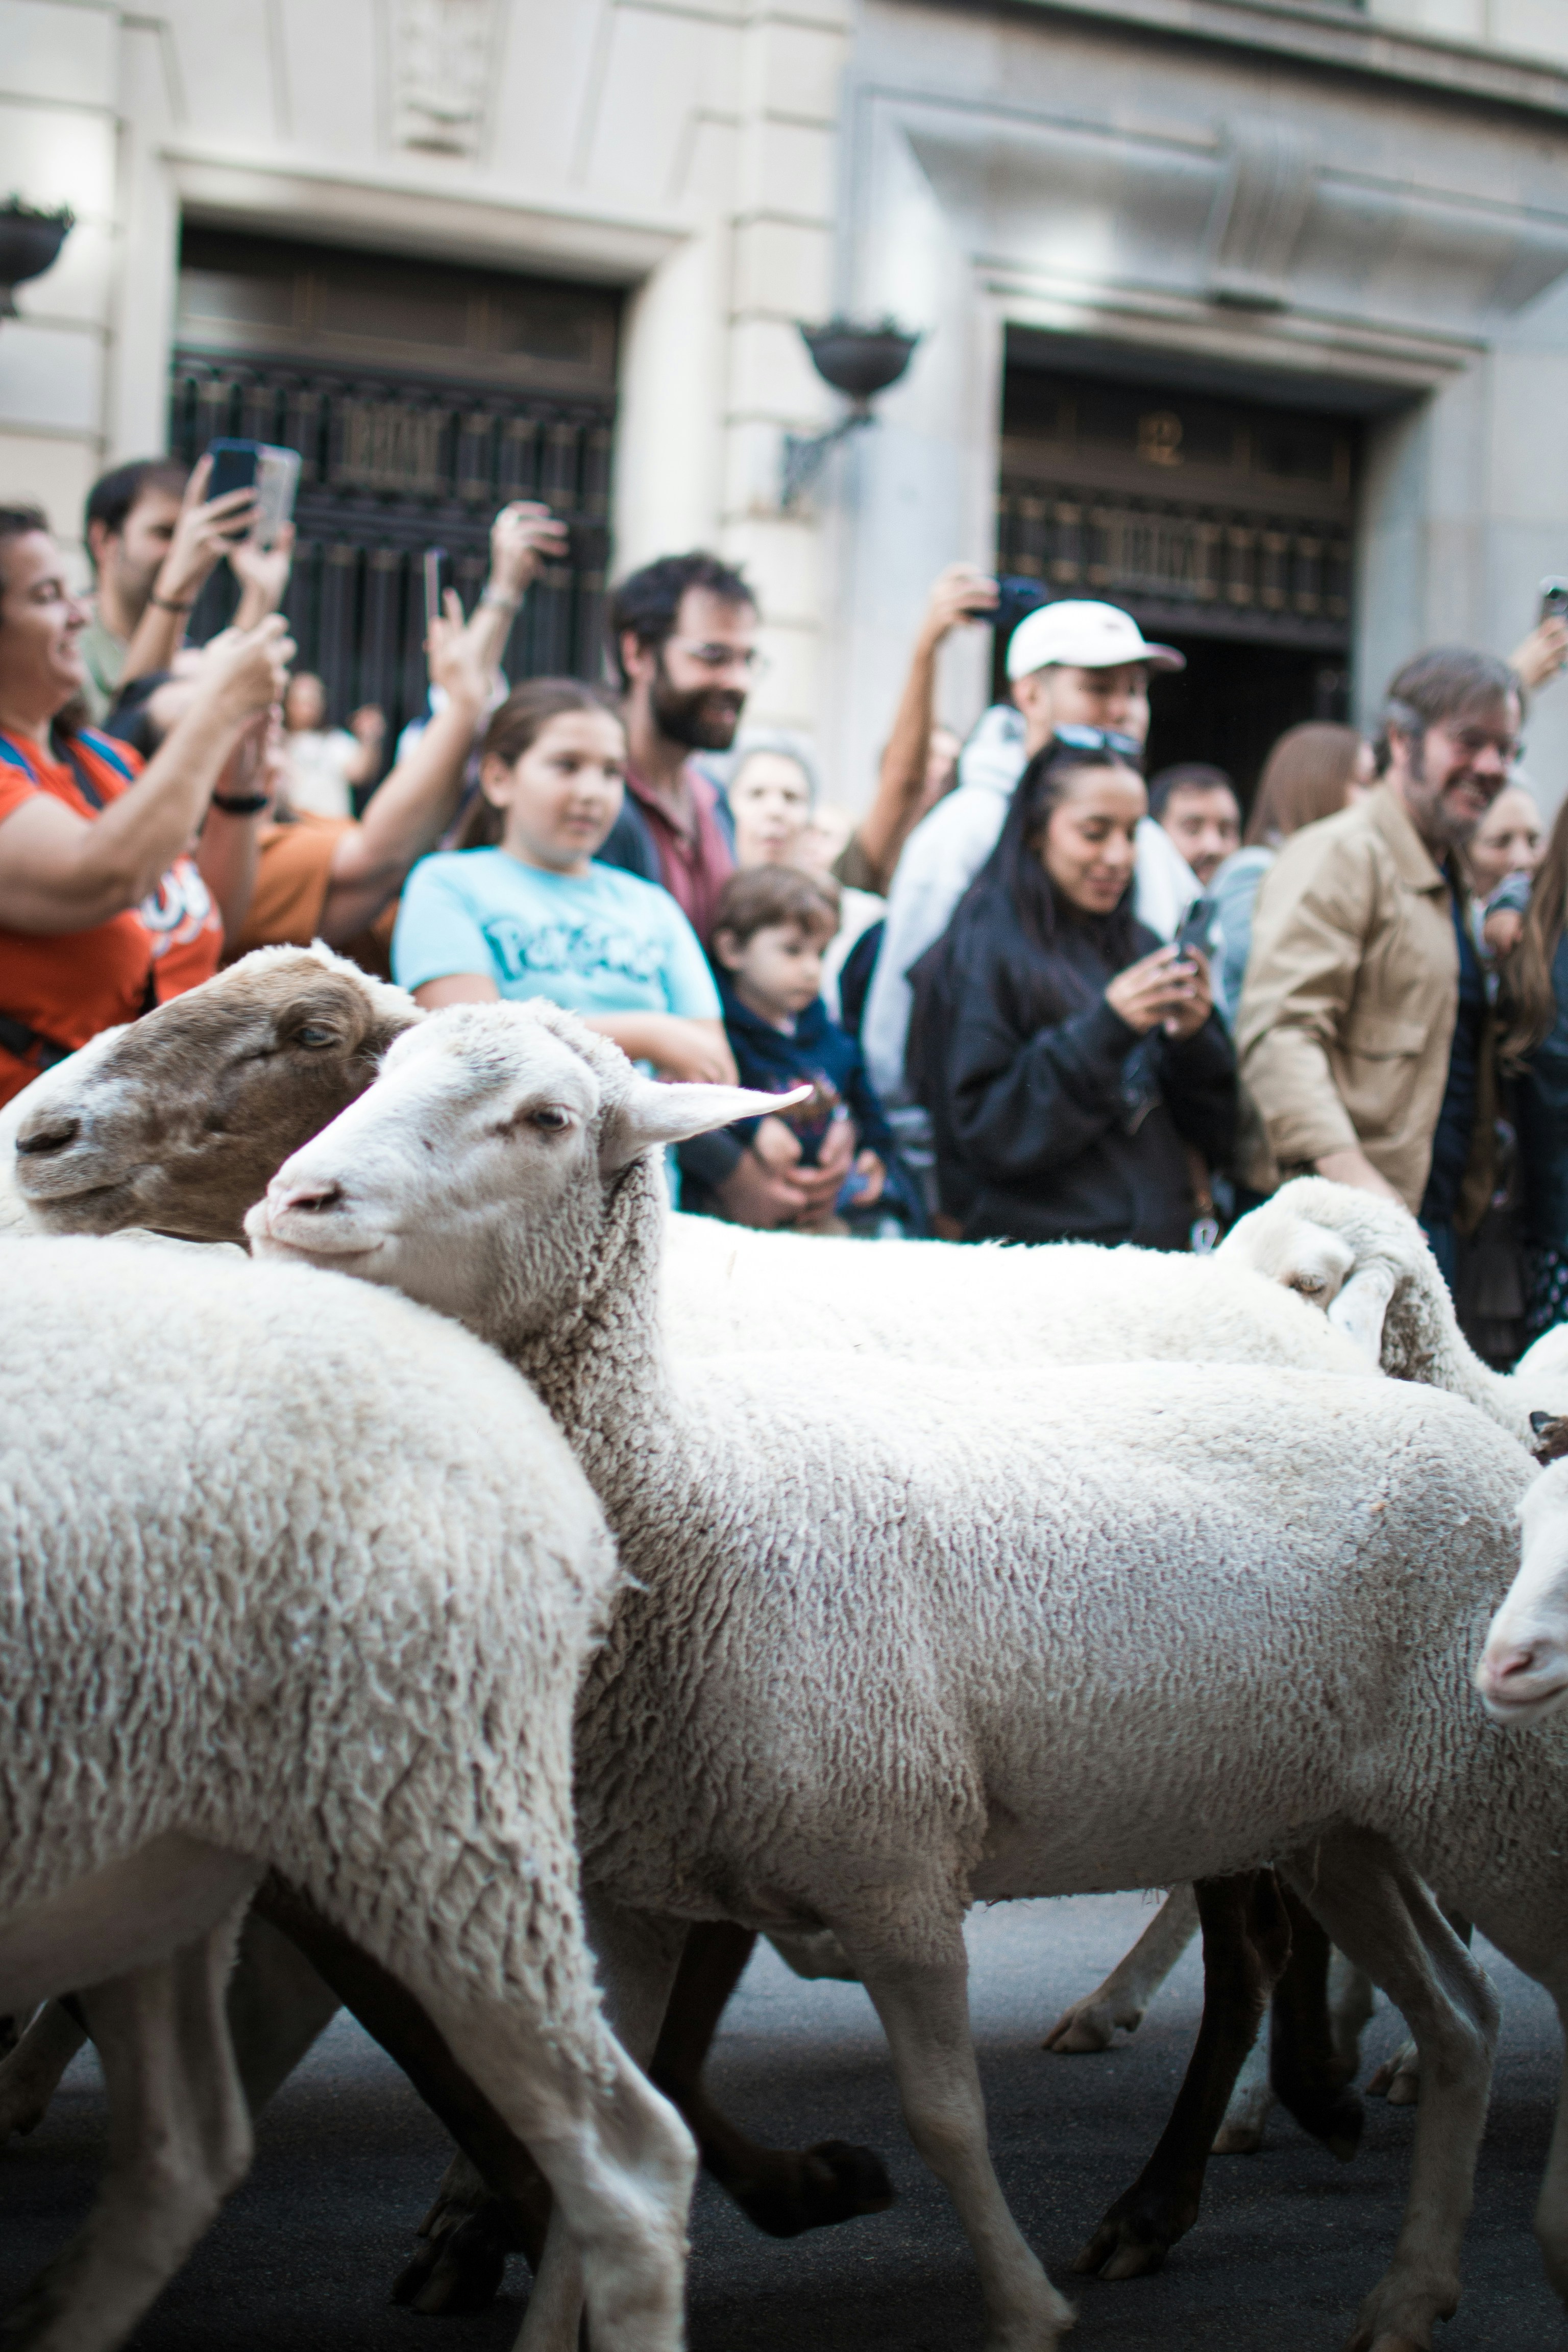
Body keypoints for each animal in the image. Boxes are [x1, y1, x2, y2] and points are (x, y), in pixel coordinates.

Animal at [246, 996, 1568, 2352]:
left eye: (547, 1118)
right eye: (378, 1070)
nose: (294, 1201)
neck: (692, 1500)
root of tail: (1465, 1428)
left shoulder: (897, 1875)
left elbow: (943, 2115)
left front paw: (1022, 2308)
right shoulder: (639, 1895)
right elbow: (599, 2145)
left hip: (1493, 1797)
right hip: (1341, 1822)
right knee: (1461, 2014)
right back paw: (1401, 2283)